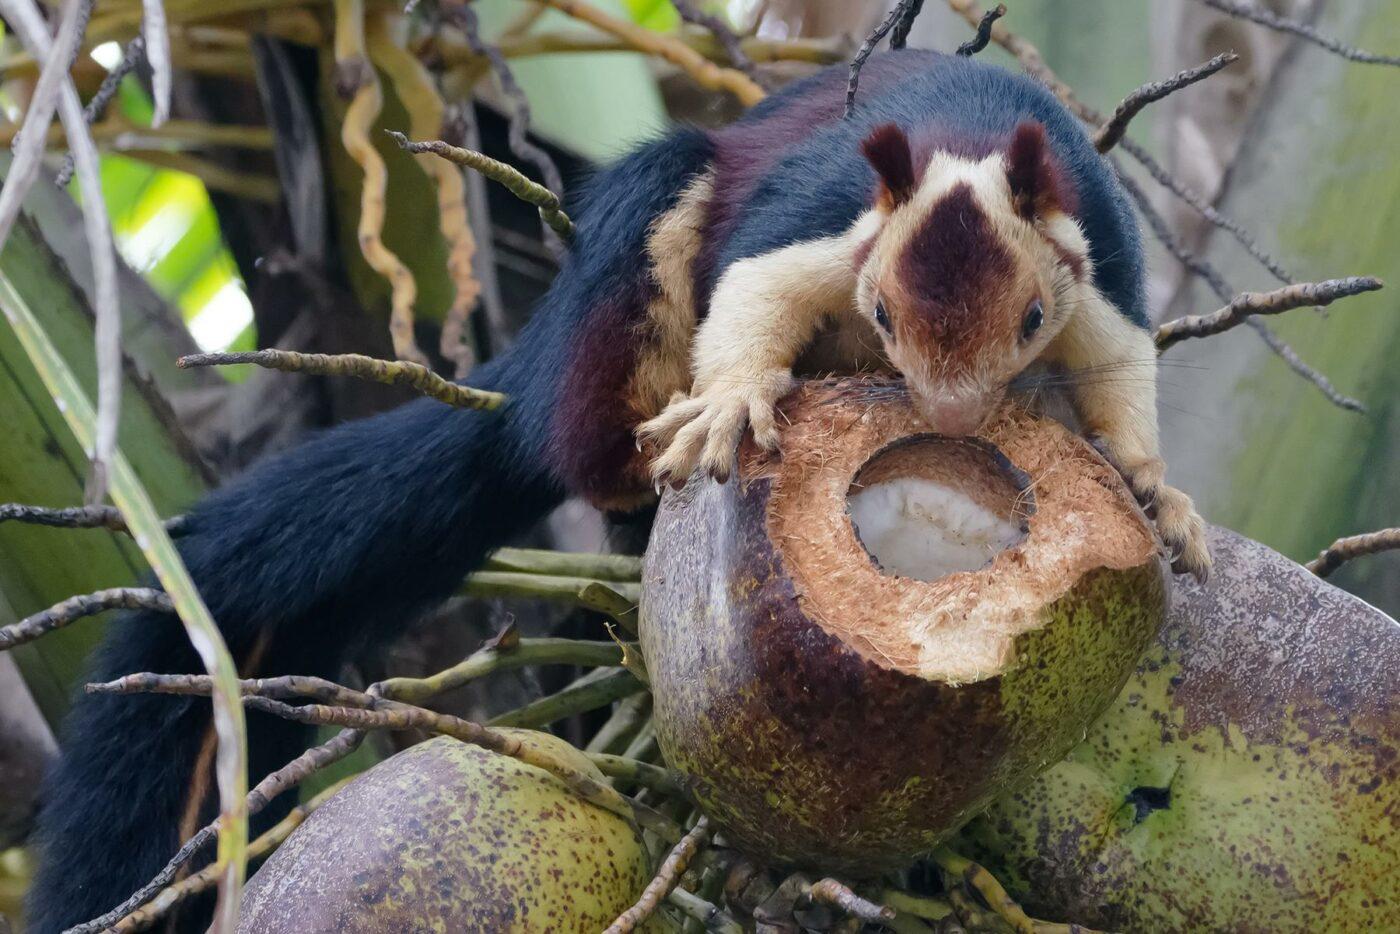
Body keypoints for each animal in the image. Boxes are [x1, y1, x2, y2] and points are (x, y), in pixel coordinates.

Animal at [26, 49, 1208, 932]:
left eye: (1026, 321)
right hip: (622, 303)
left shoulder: (1096, 263)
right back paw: (645, 454)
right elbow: (753, 290)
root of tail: (534, 380)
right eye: (879, 312)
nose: (951, 415)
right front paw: (731, 403)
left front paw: (1162, 498)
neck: (967, 140)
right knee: (605, 416)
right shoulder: (822, 217)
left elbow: (1121, 373)